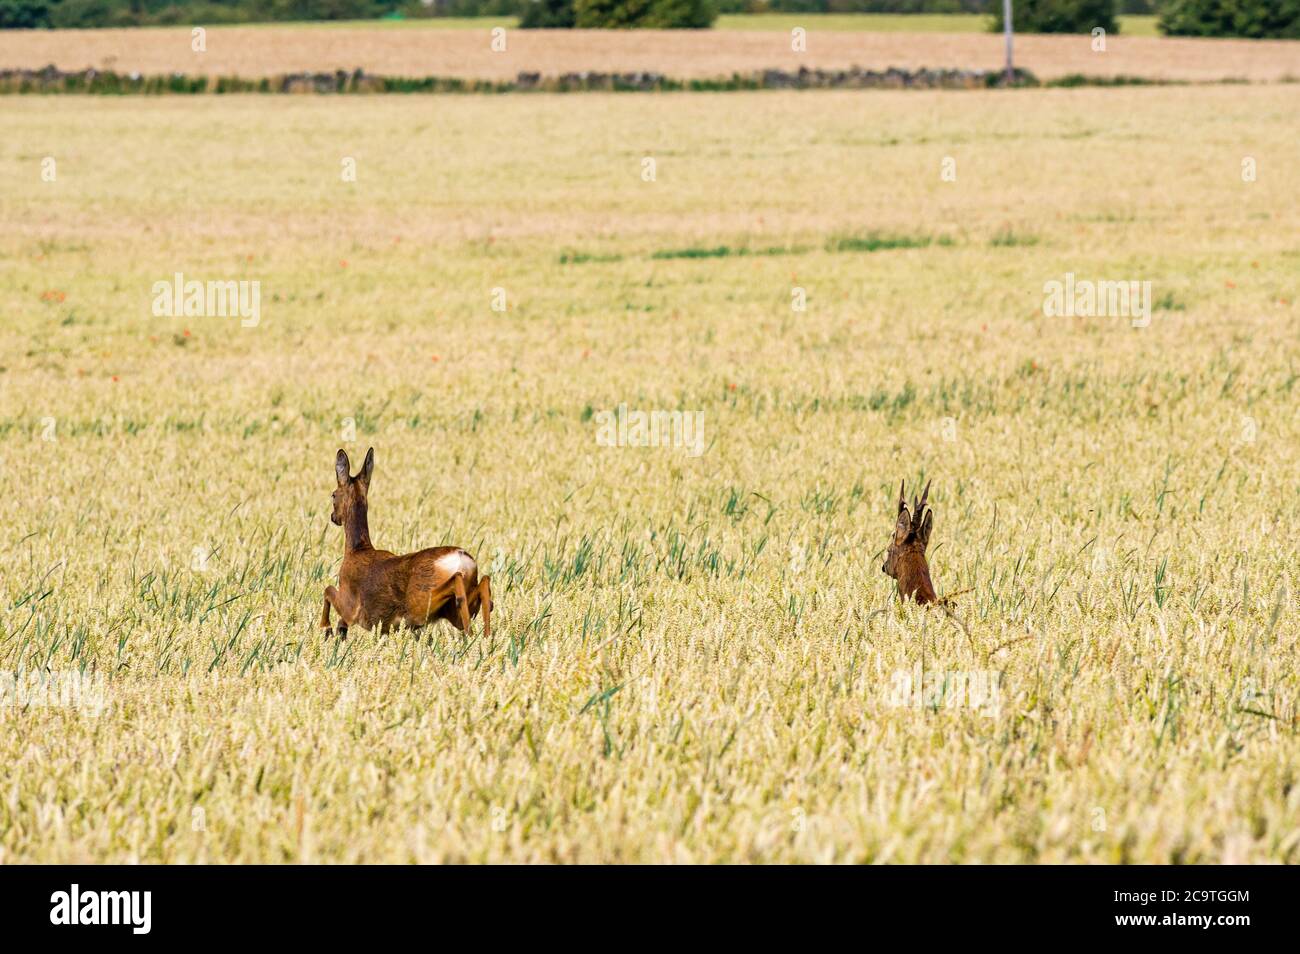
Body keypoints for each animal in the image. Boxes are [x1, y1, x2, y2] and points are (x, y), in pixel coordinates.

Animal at [320, 448, 492, 640]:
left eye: (333, 494)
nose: (333, 517)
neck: (357, 549)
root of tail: (463, 558)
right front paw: (338, 633)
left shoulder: (349, 605)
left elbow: (328, 590)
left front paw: (326, 629)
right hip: (452, 609)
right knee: (485, 586)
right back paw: (484, 636)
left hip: (420, 603)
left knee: (458, 586)